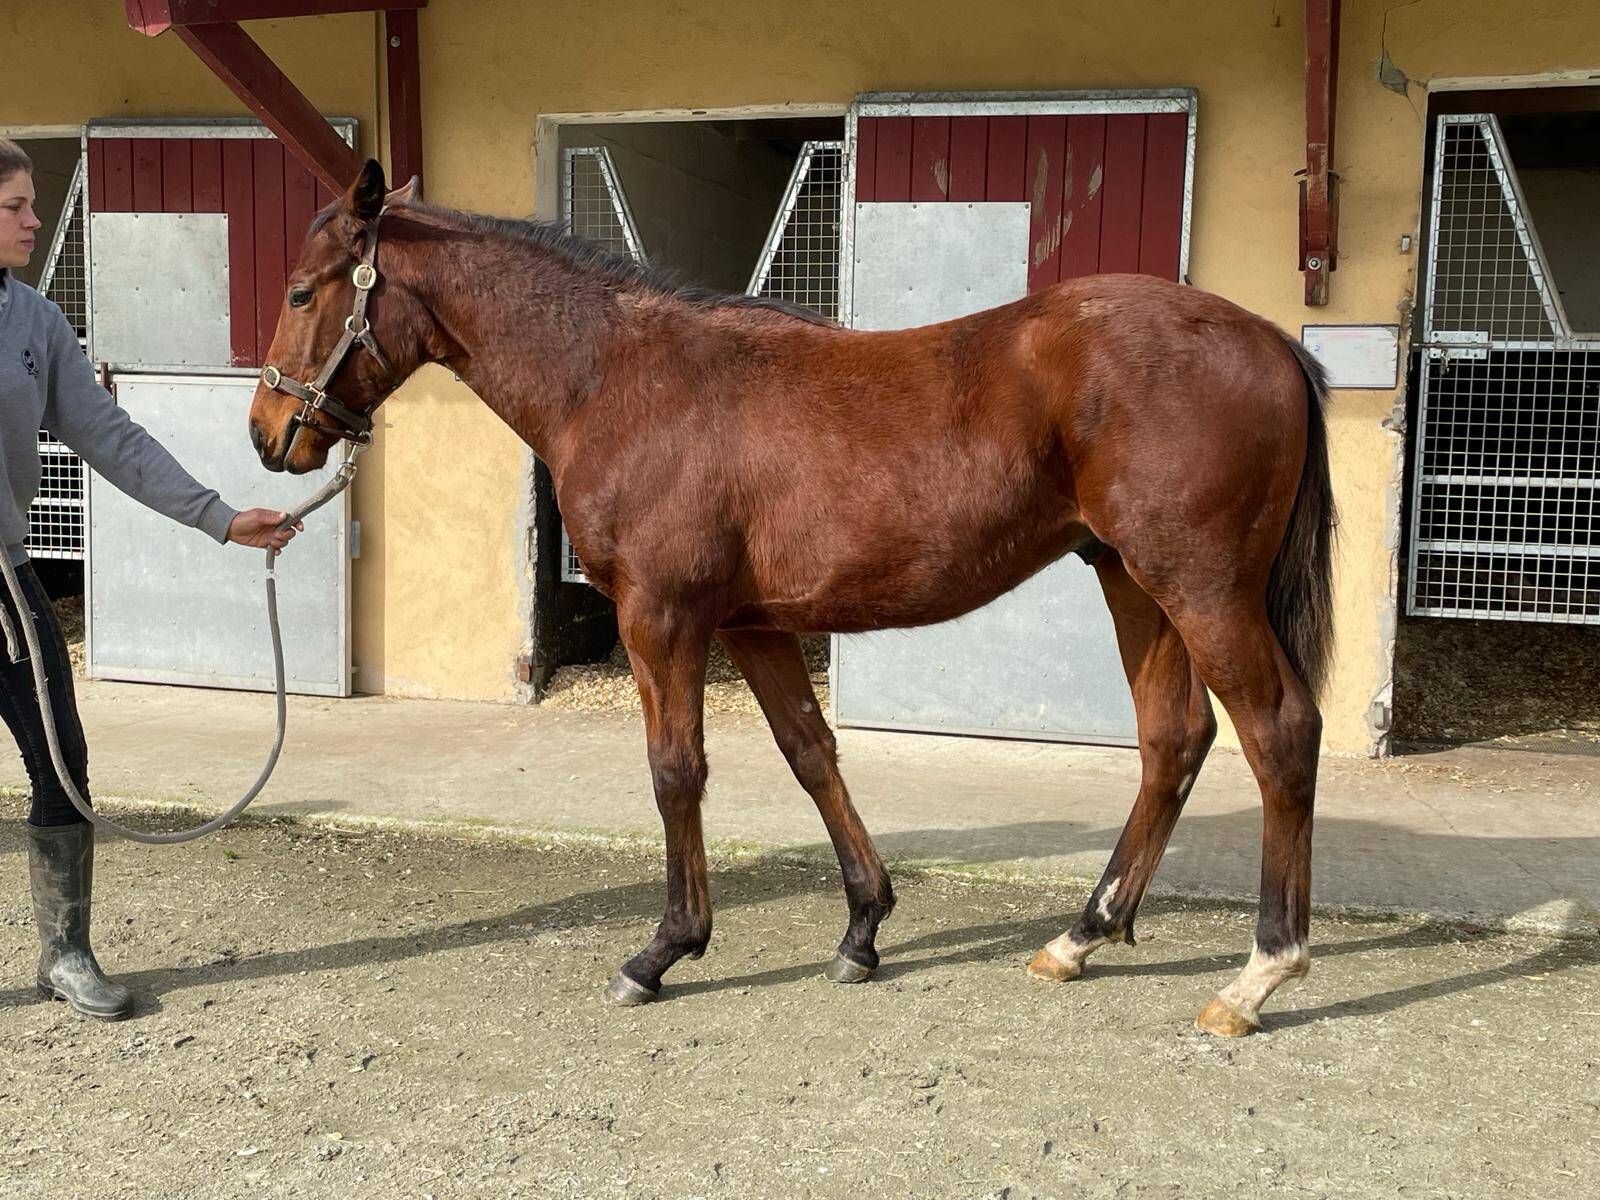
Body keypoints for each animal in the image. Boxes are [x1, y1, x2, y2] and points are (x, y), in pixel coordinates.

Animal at [249, 160, 1335, 1037]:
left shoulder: (663, 618)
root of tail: (1270, 341)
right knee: (1173, 740)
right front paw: (862, 928)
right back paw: (1083, 934)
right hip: (1131, 580)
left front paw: (664, 950)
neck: (621, 382)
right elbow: (811, 755)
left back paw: (1257, 976)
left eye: (303, 290)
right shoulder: (751, 625)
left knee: (1278, 732)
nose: (267, 433)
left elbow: (676, 772)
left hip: (1198, 585)